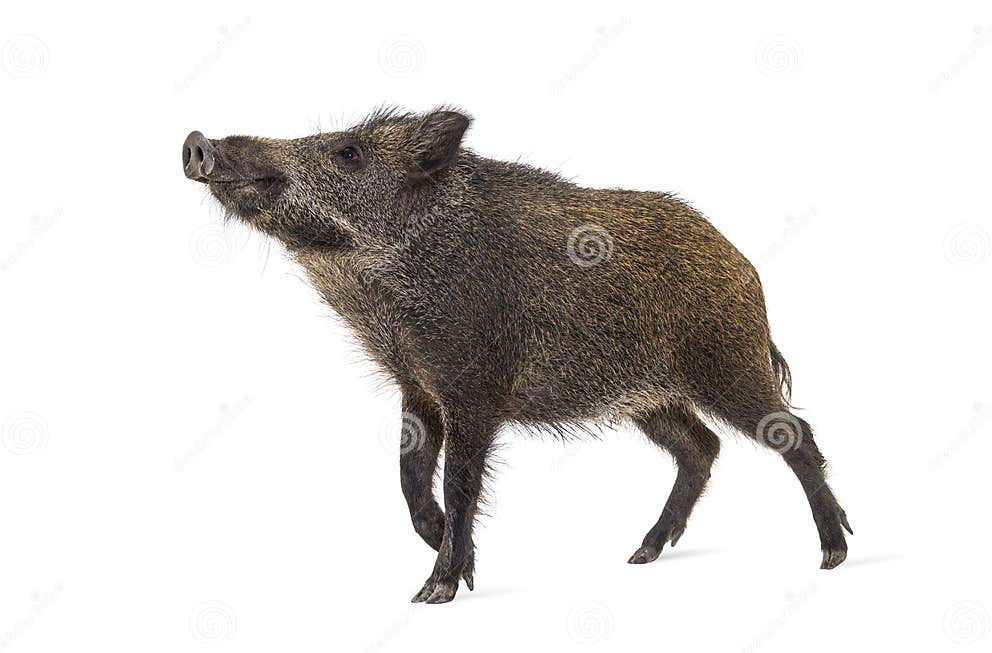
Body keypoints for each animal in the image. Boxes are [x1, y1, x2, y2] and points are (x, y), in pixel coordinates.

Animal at [182, 107, 852, 604]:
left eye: (349, 152)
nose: (197, 142)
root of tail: (744, 266)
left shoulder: (473, 388)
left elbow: (457, 482)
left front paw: (436, 591)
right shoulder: (417, 386)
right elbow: (408, 477)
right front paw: (452, 559)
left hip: (726, 363)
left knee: (791, 433)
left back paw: (833, 554)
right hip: (647, 396)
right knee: (701, 447)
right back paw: (640, 553)